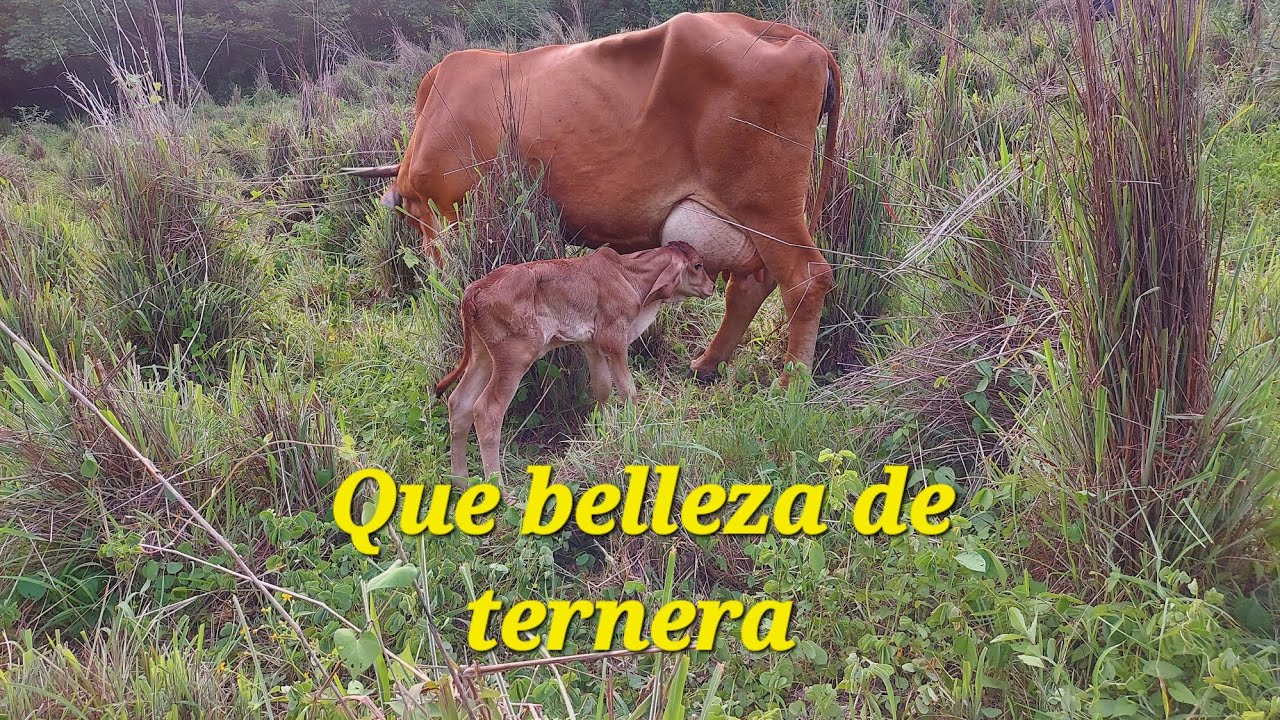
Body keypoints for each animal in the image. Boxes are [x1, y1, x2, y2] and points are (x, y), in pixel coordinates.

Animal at [346, 12, 842, 381]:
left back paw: (791, 381)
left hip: (767, 208)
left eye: (411, 214)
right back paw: (706, 363)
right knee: (751, 283)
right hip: (752, 215)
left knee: (805, 278)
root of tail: (794, 36)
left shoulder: (451, 212)